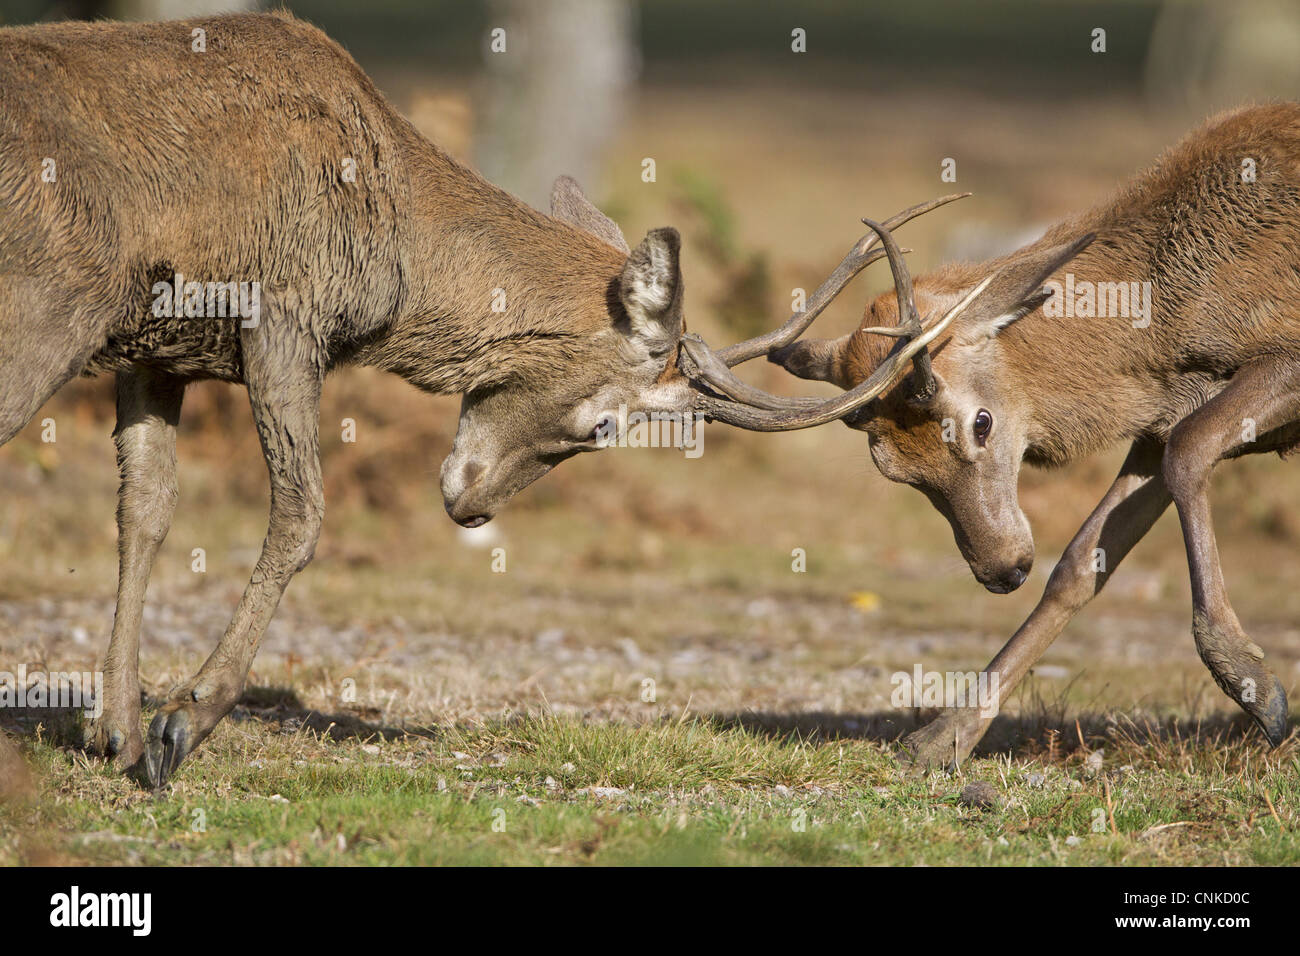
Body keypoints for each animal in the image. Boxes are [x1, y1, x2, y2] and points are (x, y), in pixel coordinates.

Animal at [0, 12, 974, 786]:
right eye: (606, 424)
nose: (471, 507)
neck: (389, 265)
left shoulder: (155, 349)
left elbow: (146, 509)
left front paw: (117, 731)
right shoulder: (281, 314)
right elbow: (303, 512)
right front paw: (181, 722)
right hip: (51, 303)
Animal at [679, 102, 1300, 771]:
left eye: (982, 421)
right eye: (893, 468)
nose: (1002, 569)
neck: (1169, 339)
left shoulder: (1274, 362)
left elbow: (1190, 451)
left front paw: (1256, 686)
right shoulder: (1159, 422)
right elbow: (1080, 563)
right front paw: (940, 739)